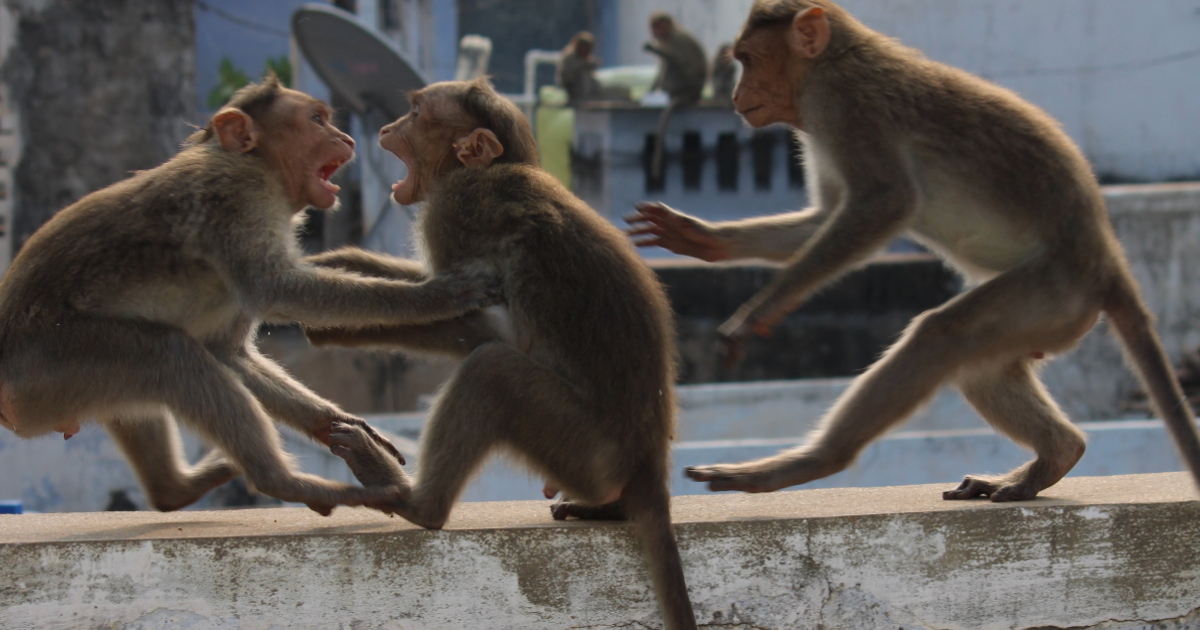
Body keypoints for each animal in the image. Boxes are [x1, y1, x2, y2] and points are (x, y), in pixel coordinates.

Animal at [0, 76, 501, 515]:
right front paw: (436, 297)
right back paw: (283, 482)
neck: (258, 165)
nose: (347, 138)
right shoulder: (239, 197)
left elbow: (229, 352)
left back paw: (177, 490)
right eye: (317, 120)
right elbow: (272, 288)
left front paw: (337, 424)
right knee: (167, 355)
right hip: (52, 365)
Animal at [304, 78, 698, 630]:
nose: (385, 129)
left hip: (585, 451)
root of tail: (650, 465)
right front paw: (336, 267)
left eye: (416, 113)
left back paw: (417, 503)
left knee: (494, 371)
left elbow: (493, 328)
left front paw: (328, 321)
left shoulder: (453, 211)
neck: (489, 169)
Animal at [643, 13, 708, 180]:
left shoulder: (675, 41)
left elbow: (681, 64)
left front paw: (653, 49)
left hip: (682, 84)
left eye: (659, 26)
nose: (655, 32)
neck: (670, 31)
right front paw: (650, 90)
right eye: (654, 26)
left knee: (672, 65)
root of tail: (695, 92)